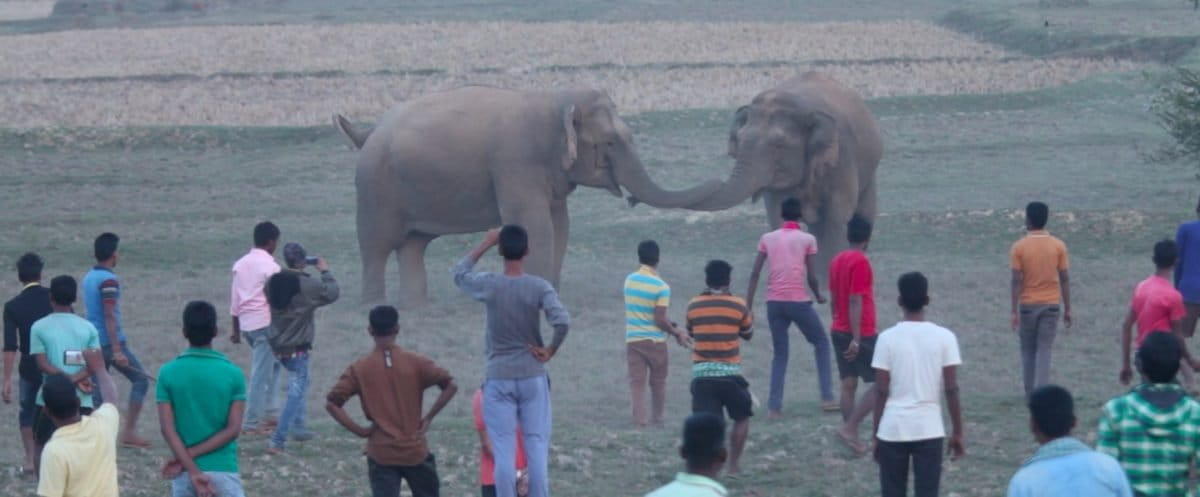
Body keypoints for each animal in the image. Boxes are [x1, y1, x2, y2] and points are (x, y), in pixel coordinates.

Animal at [334, 85, 724, 306]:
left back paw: (416, 309)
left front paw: (552, 290)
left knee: (413, 246)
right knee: (376, 247)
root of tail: (368, 133)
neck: (555, 101)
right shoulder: (515, 161)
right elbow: (534, 224)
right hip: (375, 187)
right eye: (611, 143)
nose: (630, 199)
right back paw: (375, 306)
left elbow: (559, 225)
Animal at [638, 71, 883, 276]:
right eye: (740, 139)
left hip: (869, 171)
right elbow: (779, 218)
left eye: (779, 145)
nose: (713, 181)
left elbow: (834, 223)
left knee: (860, 218)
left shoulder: (841, 162)